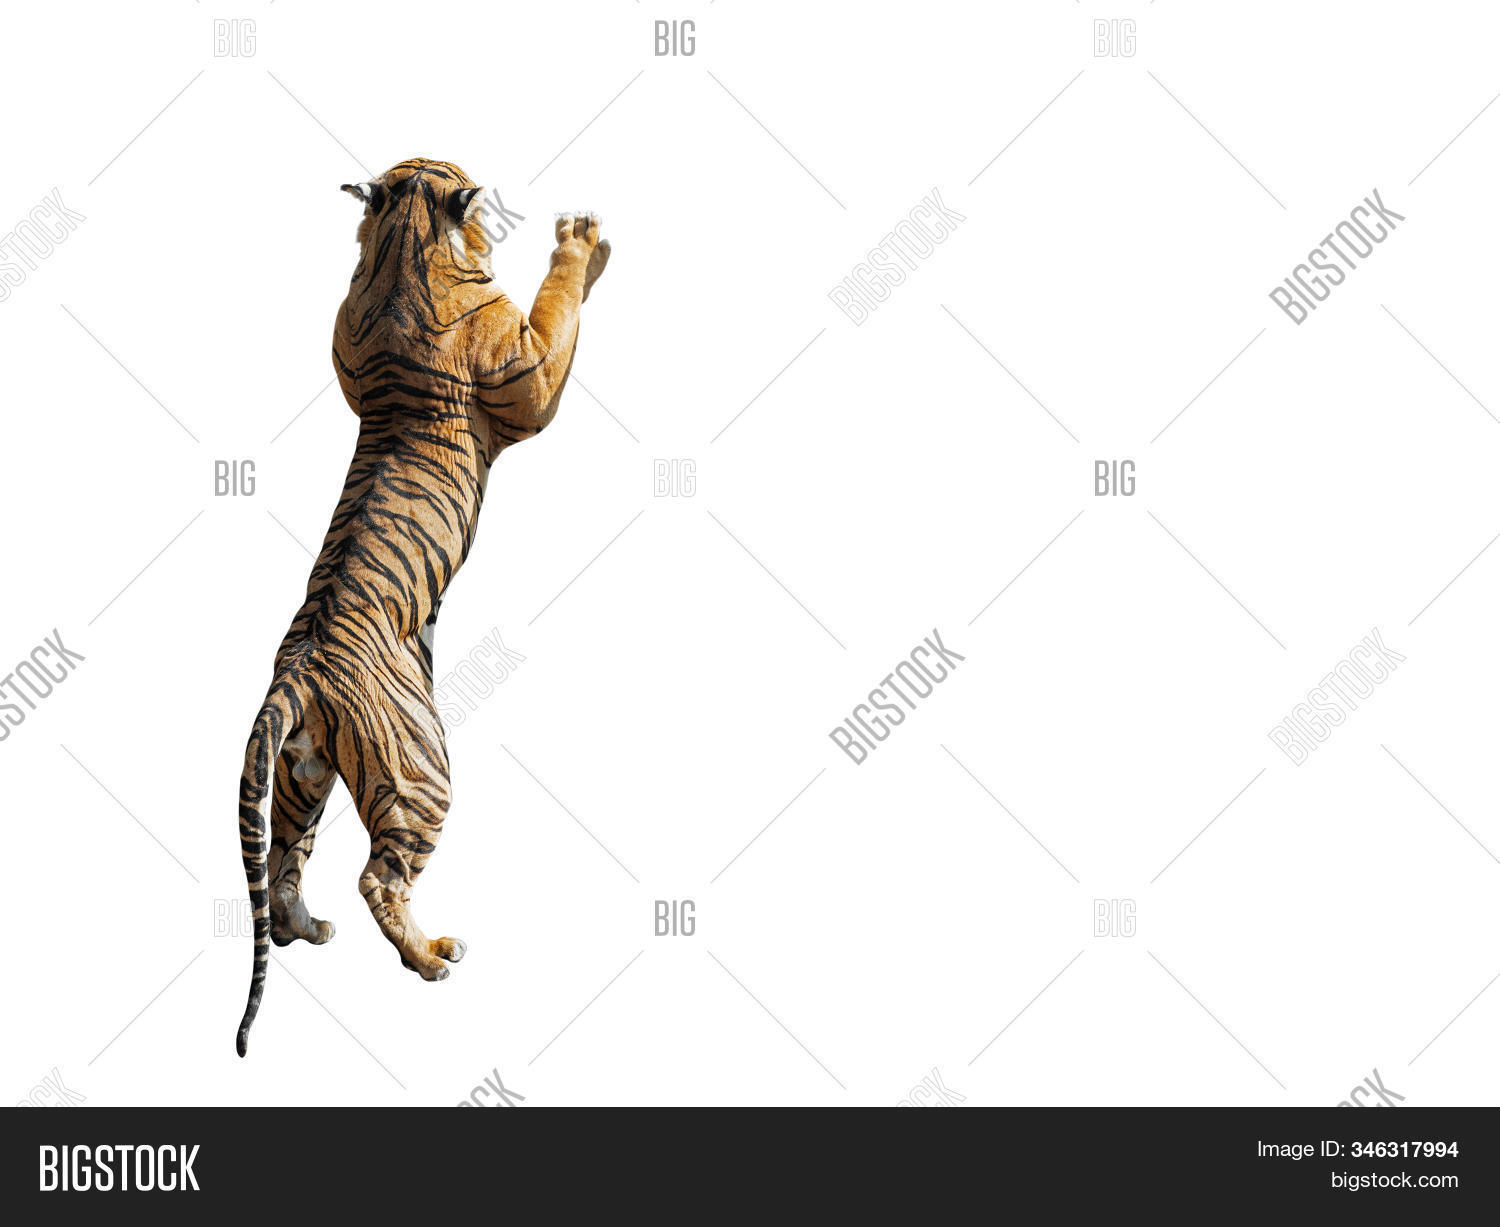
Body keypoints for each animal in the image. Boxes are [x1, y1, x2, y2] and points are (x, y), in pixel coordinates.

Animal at [236, 157, 610, 1056]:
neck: (403, 249)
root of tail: (295, 677)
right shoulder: (528, 366)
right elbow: (558, 304)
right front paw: (580, 238)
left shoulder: (345, 336)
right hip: (421, 770)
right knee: (377, 875)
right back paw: (433, 956)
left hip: (302, 772)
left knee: (287, 858)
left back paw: (306, 928)